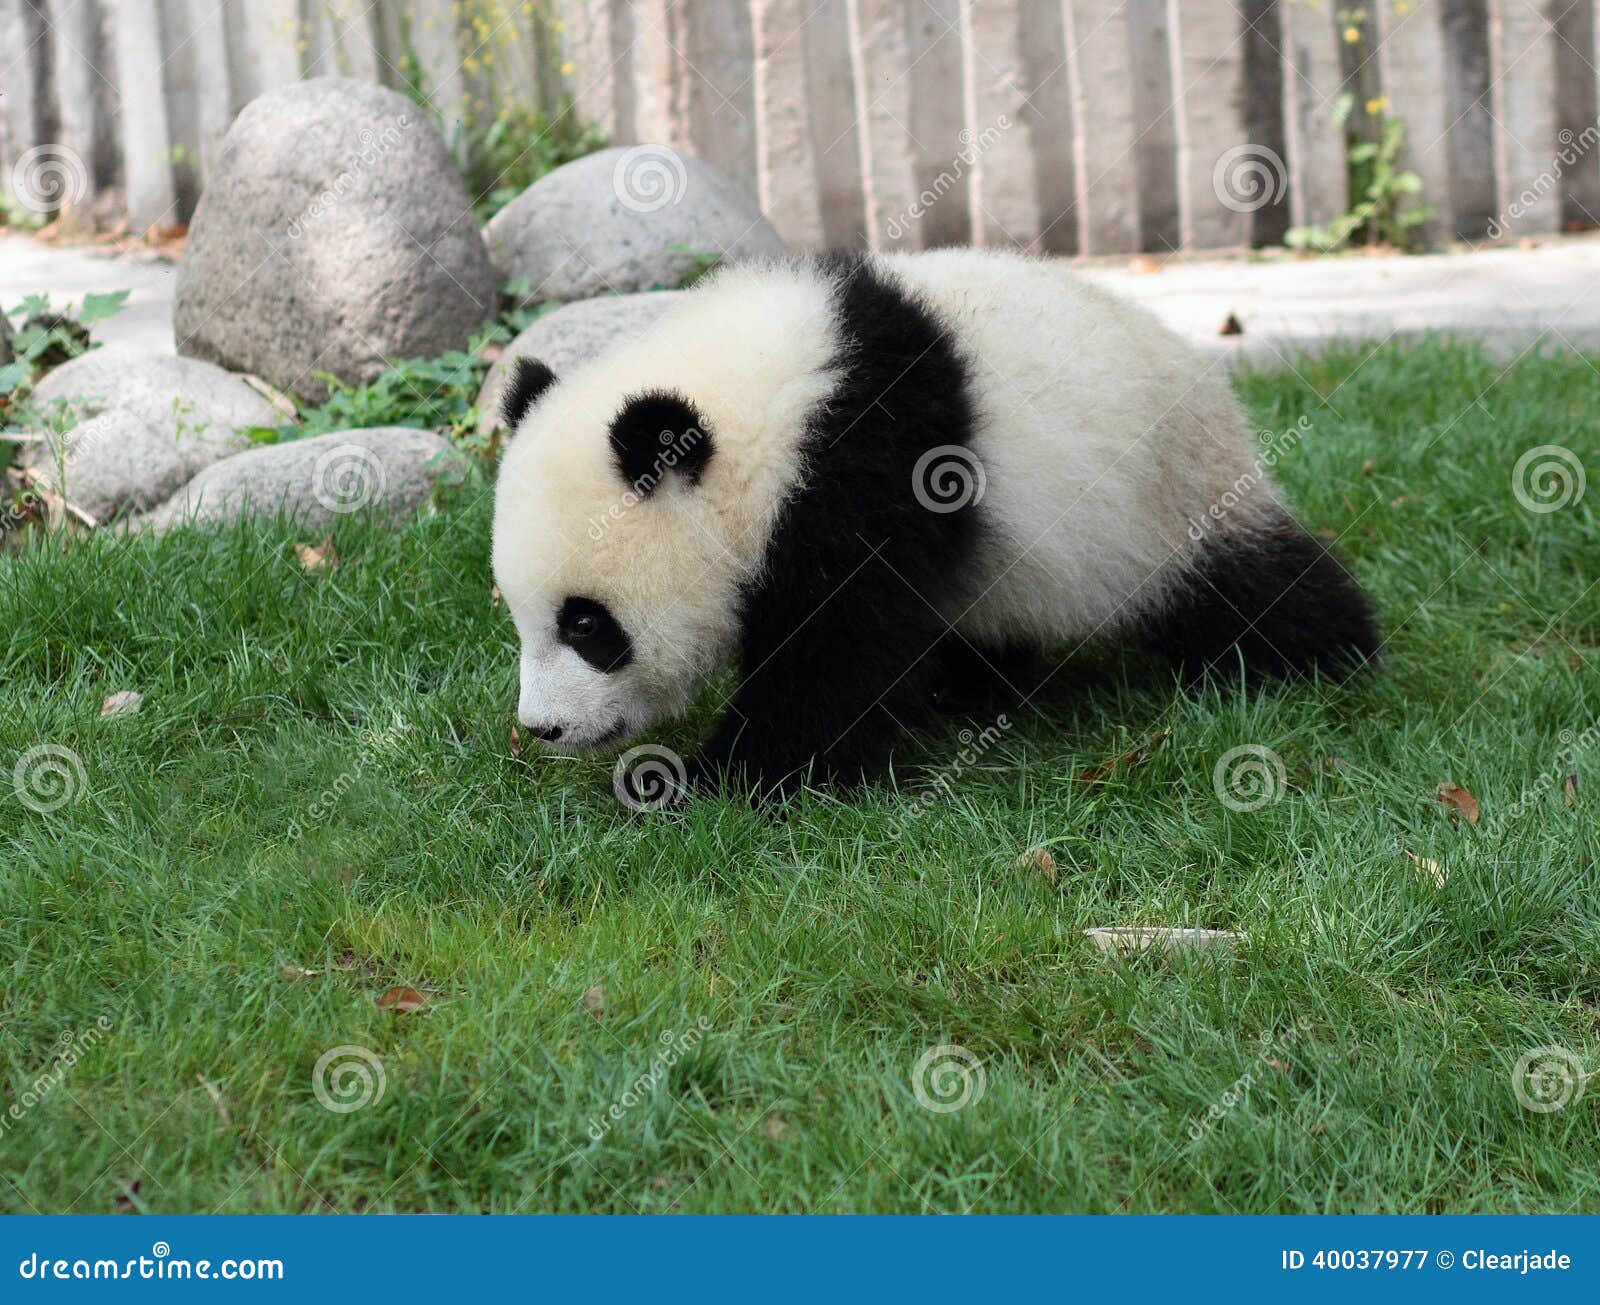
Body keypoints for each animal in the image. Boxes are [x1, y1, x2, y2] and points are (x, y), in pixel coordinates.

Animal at [491, 248, 1377, 800]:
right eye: (522, 617)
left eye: (587, 624)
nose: (543, 727)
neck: (770, 406)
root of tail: (1219, 396)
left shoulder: (870, 470)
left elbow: (839, 652)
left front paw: (701, 779)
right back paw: (966, 684)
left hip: (1167, 501)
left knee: (1247, 590)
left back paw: (1329, 655)